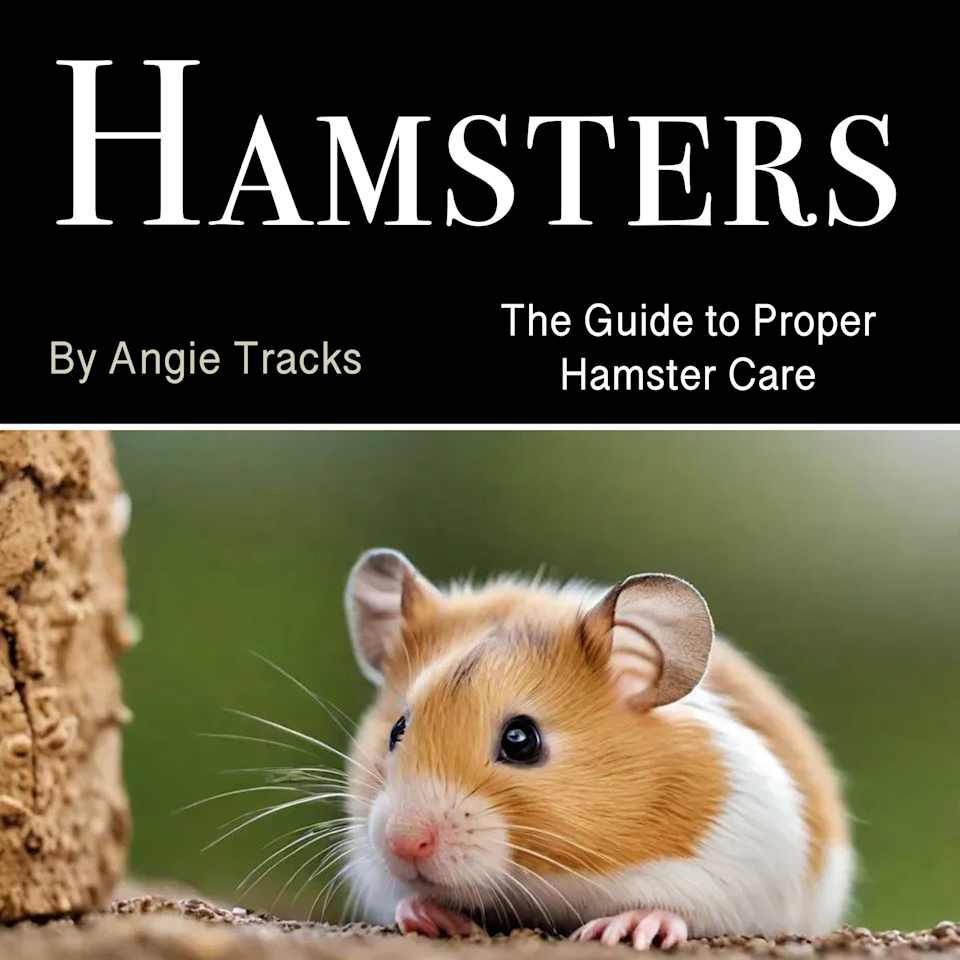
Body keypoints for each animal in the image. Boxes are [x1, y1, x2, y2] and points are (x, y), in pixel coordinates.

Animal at [341, 549, 853, 949]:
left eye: (521, 740)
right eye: (397, 729)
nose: (403, 843)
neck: (554, 875)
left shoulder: (743, 864)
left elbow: (678, 908)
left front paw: (625, 929)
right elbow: (404, 895)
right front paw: (429, 916)